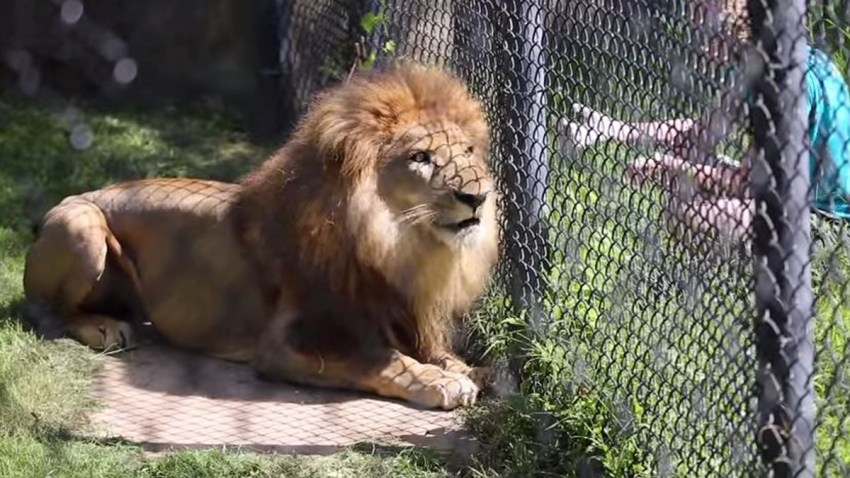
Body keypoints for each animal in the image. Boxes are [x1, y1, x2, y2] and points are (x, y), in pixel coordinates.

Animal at [22, 61, 500, 410]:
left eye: (468, 152)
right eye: (421, 157)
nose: (477, 196)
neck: (395, 242)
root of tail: (85, 191)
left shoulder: (406, 316)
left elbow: (436, 352)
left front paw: (466, 371)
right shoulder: (284, 343)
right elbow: (378, 360)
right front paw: (438, 381)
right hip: (80, 225)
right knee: (46, 312)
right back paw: (103, 327)